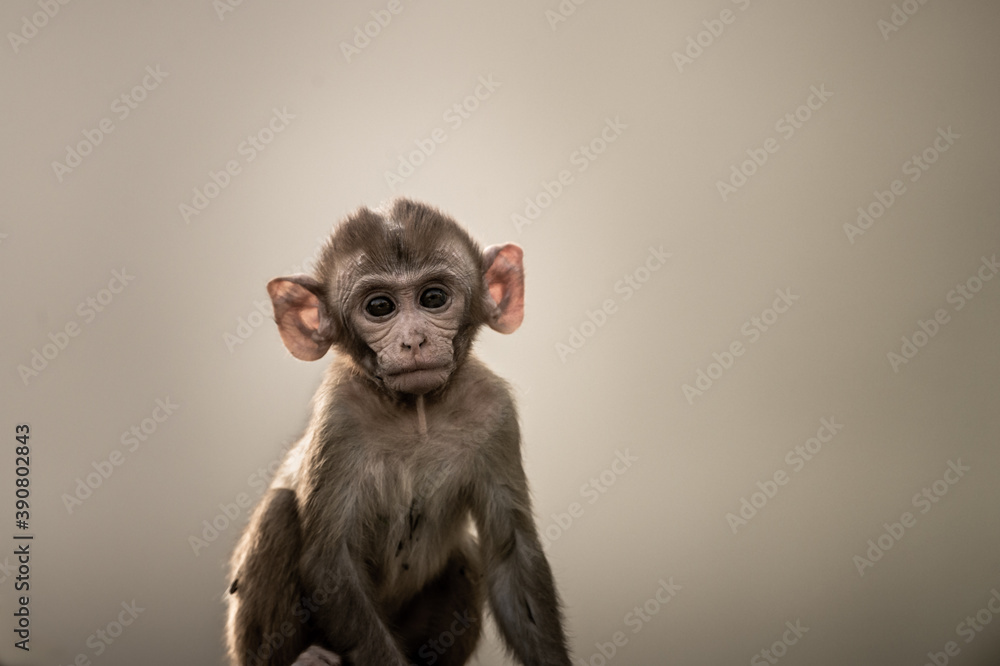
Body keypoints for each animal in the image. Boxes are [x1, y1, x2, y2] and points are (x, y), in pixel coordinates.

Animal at [226, 198, 572, 666]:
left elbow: (510, 554)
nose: (414, 340)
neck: (416, 413)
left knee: (465, 557)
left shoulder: (495, 411)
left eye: (433, 298)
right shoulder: (339, 416)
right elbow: (331, 562)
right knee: (280, 511)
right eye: (379, 307)